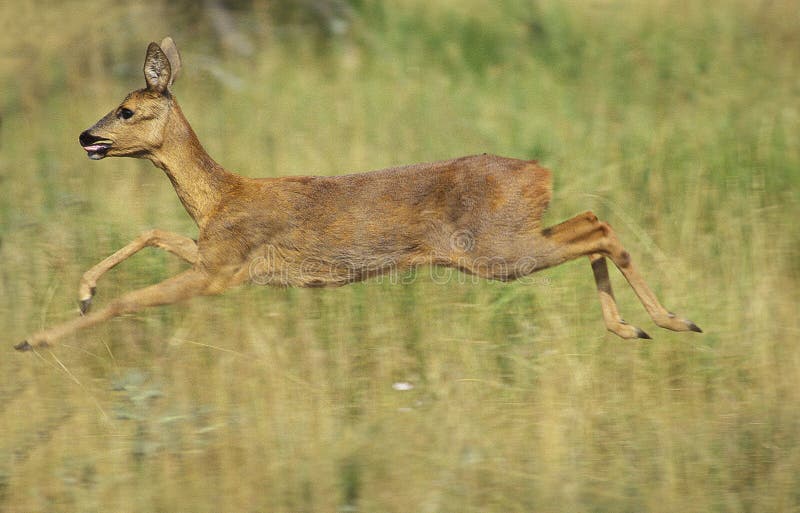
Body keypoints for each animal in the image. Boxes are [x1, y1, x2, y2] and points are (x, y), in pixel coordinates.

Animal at [14, 37, 701, 351]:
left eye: (127, 110)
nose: (86, 136)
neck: (220, 196)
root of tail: (541, 171)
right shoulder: (219, 257)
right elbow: (151, 232)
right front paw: (81, 291)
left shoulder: (222, 271)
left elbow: (130, 300)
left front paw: (33, 339)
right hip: (510, 240)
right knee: (592, 220)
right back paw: (637, 328)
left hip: (493, 250)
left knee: (598, 229)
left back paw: (671, 320)